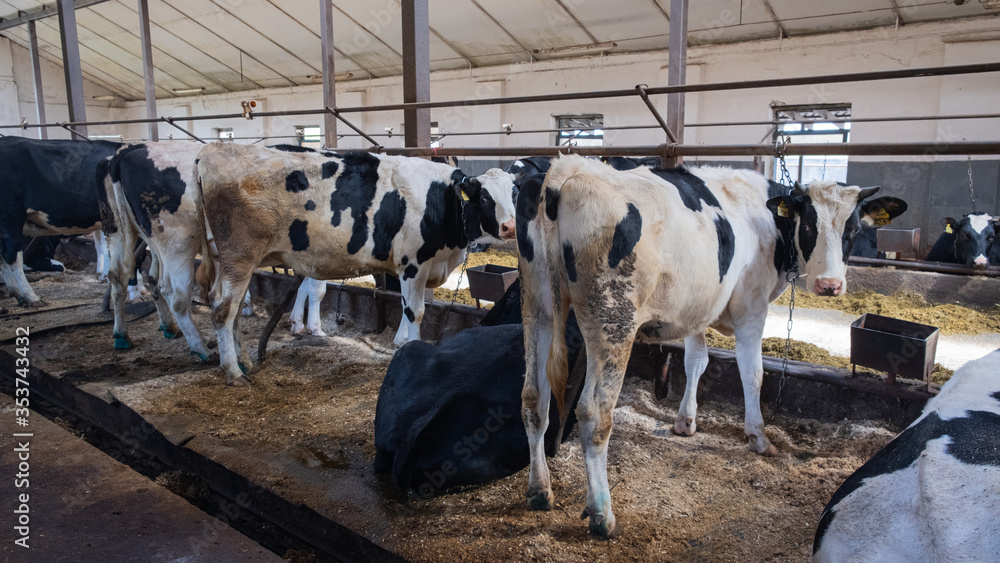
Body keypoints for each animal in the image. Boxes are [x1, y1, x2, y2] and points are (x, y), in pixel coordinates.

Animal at [196, 143, 517, 385]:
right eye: (485, 198)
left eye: (515, 195)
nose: (510, 227)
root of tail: (212, 151)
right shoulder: (412, 264)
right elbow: (415, 312)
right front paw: (411, 348)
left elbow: (405, 307)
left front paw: (400, 342)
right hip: (240, 256)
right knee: (223, 309)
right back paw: (234, 372)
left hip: (232, 261)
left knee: (231, 308)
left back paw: (246, 362)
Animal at [518, 154, 880, 537]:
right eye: (809, 225)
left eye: (853, 230)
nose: (830, 285)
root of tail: (568, 169)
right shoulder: (752, 306)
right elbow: (752, 374)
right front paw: (759, 438)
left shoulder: (696, 308)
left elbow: (696, 362)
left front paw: (685, 421)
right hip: (613, 318)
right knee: (594, 412)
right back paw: (602, 514)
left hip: (538, 305)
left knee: (533, 398)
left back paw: (540, 491)